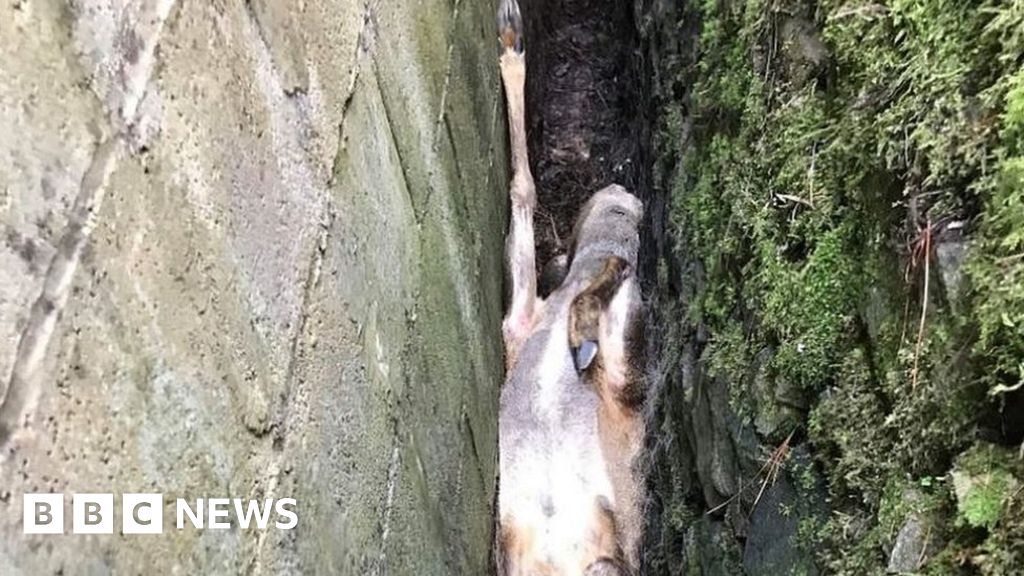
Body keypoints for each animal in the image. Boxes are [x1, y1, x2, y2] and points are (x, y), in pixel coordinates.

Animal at [495, 1, 647, 574]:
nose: (621, 199)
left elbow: (524, 190)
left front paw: (512, 39)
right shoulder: (517, 326)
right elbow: (522, 193)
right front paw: (510, 39)